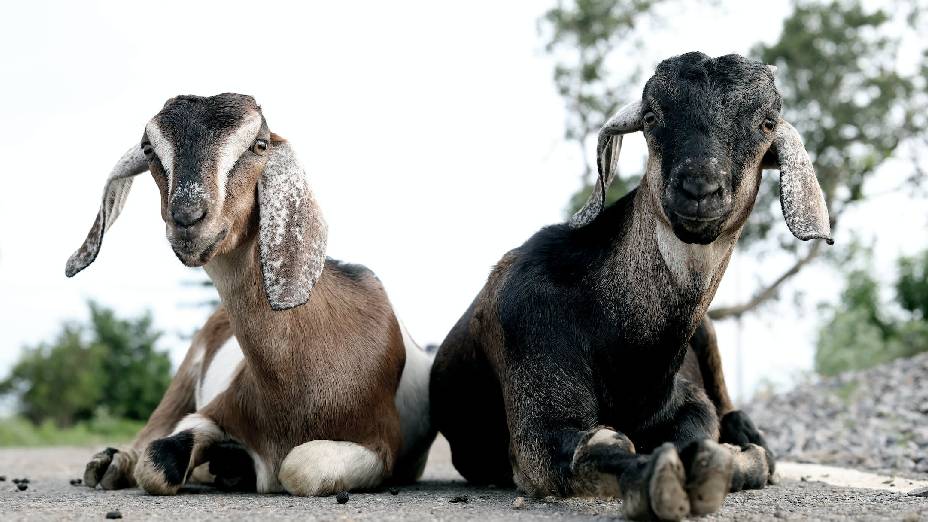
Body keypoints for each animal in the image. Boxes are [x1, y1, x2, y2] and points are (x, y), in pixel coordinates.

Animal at [66, 93, 435, 495]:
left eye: (259, 145)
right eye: (149, 149)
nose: (188, 218)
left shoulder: (384, 443)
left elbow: (300, 466)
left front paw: (234, 463)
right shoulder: (215, 410)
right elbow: (156, 461)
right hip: (184, 376)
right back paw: (111, 464)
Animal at [430, 53, 832, 521]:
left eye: (767, 122)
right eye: (653, 117)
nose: (699, 188)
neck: (632, 357)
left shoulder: (685, 399)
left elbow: (699, 427)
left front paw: (732, 460)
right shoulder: (534, 376)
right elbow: (589, 448)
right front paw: (662, 480)